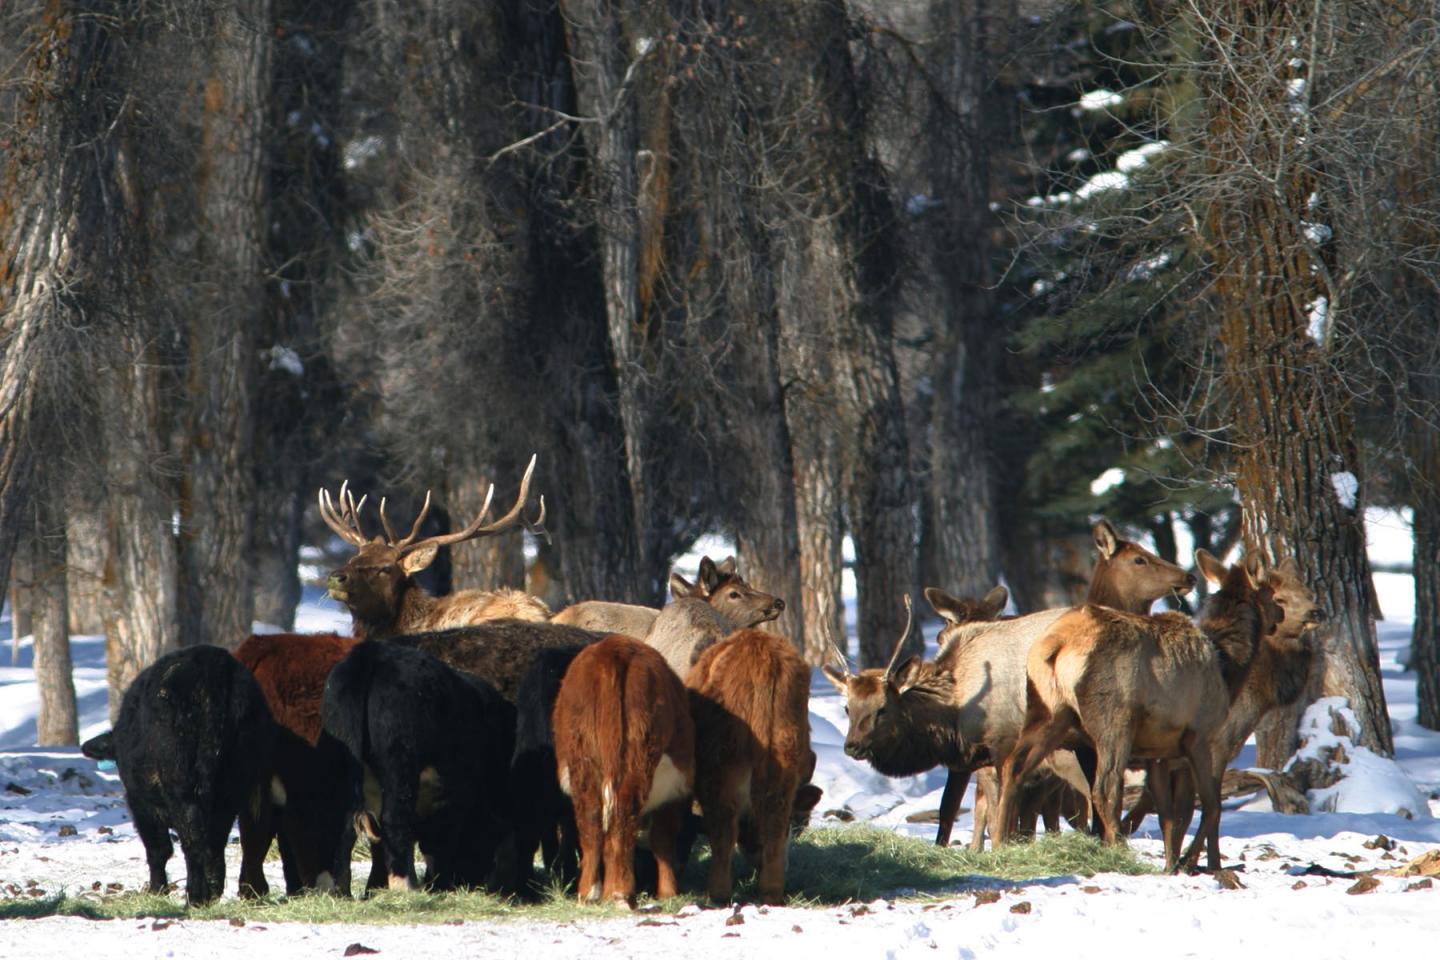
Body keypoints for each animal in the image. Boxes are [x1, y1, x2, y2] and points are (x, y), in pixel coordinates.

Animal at [994, 549, 1283, 873]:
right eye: (1272, 593)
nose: (1281, 614)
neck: (1228, 668)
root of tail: (1056, 645)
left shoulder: (1158, 752)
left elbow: (1169, 815)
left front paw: (1171, 865)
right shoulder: (1200, 736)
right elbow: (1210, 806)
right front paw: (1187, 862)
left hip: (1047, 713)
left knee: (1013, 768)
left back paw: (999, 846)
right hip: (1113, 719)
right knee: (1105, 787)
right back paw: (1117, 851)